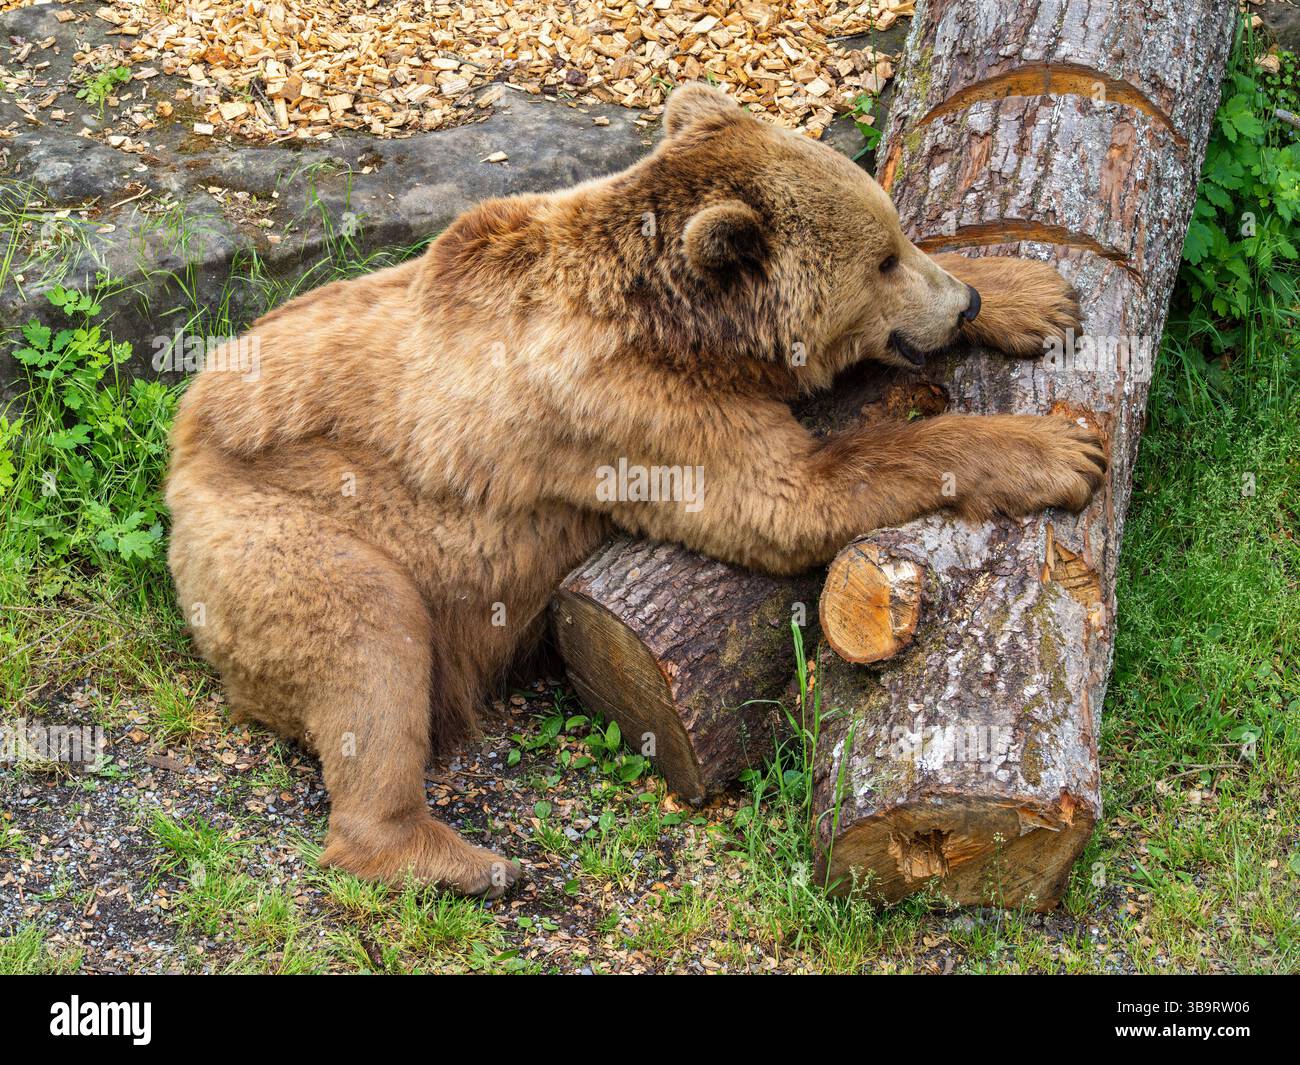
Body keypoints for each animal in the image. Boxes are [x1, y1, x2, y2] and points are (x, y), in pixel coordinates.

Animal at [166, 84, 1105, 897]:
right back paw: (459, 857)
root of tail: (179, 453)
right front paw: (1061, 449)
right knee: (370, 646)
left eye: (899, 235)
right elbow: (790, 496)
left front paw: (1035, 291)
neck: (683, 330)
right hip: (289, 531)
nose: (960, 304)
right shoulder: (629, 412)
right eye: (879, 261)